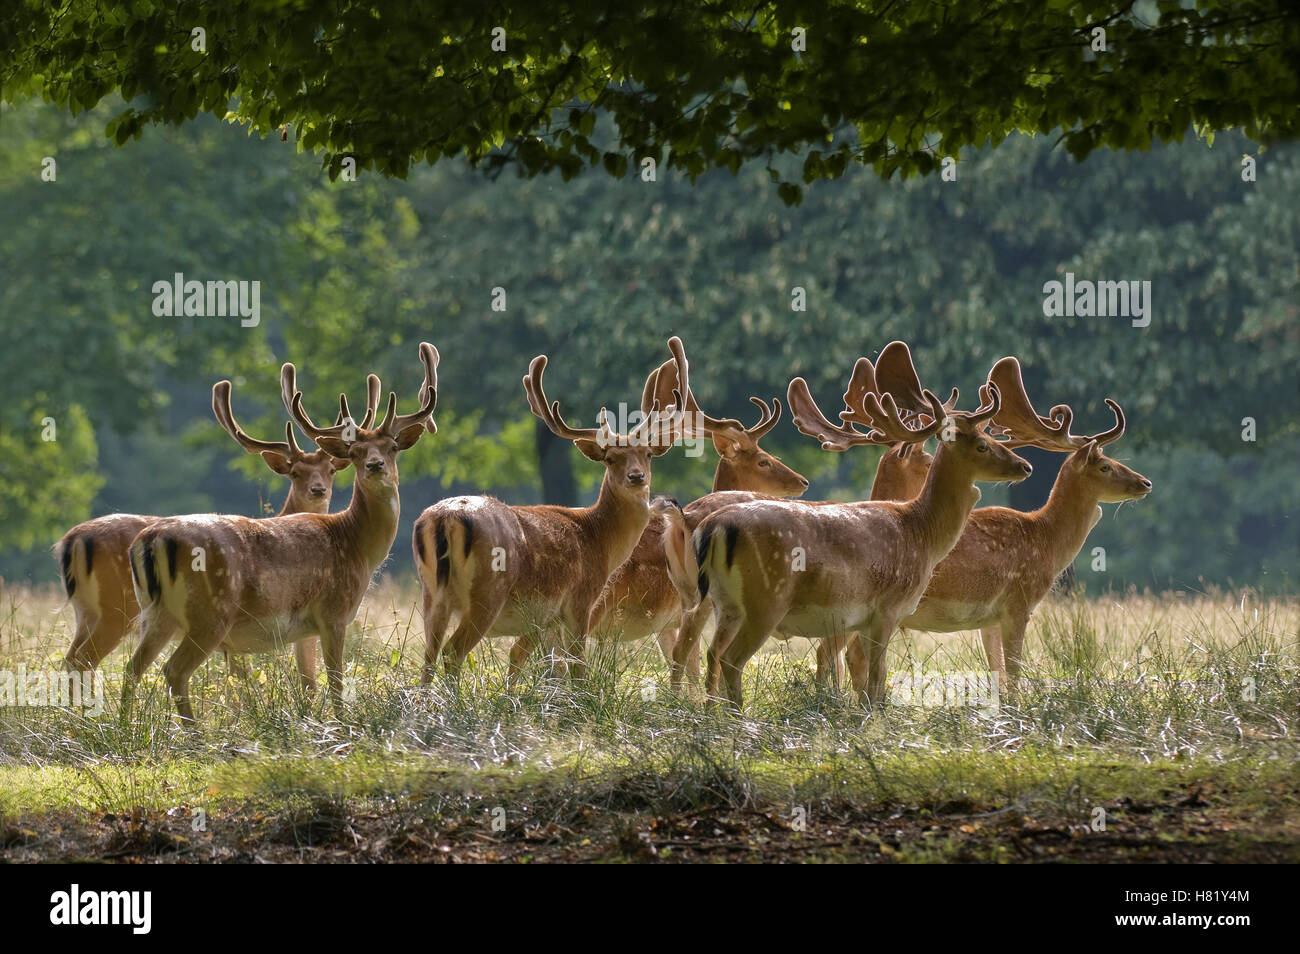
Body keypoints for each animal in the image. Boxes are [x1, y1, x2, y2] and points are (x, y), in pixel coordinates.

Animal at [55, 372, 378, 682]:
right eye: (295, 472)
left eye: (331, 470)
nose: (318, 490)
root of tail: (70, 541)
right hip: (117, 610)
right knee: (85, 660)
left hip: (87, 612)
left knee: (70, 659)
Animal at [122, 344, 438, 722]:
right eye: (356, 452)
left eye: (392, 447)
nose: (375, 466)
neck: (357, 546)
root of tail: (149, 541)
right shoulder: (333, 612)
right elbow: (335, 683)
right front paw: (343, 727)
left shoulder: (303, 629)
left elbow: (309, 682)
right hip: (209, 612)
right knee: (174, 670)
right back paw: (194, 732)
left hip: (156, 613)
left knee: (131, 669)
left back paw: (124, 727)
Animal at [413, 341, 682, 685]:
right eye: (609, 458)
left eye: (647, 454)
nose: (637, 477)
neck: (601, 540)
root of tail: (444, 520)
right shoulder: (580, 602)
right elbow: (577, 668)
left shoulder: (549, 620)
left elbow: (555, 669)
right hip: (486, 593)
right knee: (452, 652)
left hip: (431, 591)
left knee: (428, 656)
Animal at [690, 363, 1033, 709]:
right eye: (982, 445)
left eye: (989, 437)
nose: (1025, 466)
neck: (922, 533)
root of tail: (714, 527)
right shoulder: (887, 609)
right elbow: (877, 676)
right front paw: (875, 715)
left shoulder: (865, 619)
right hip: (766, 600)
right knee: (731, 659)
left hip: (725, 604)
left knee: (712, 653)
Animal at [843, 356, 1151, 693]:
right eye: (1106, 466)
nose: (1146, 483)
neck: (1046, 539)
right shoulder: (1018, 603)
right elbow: (1014, 673)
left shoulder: (988, 619)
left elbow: (998, 674)